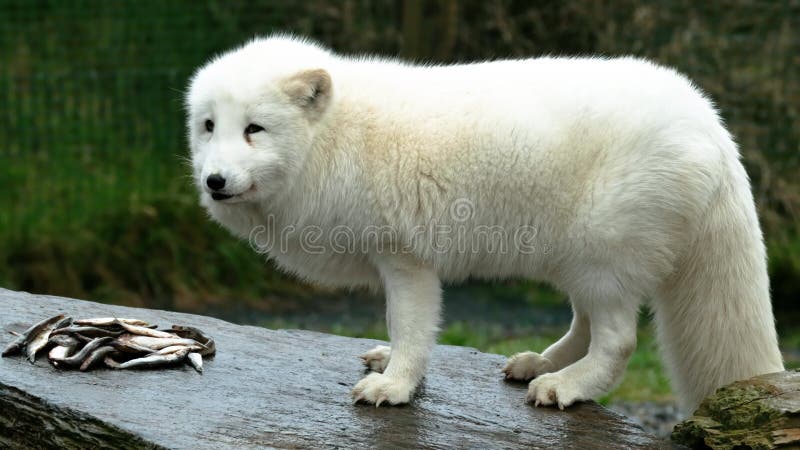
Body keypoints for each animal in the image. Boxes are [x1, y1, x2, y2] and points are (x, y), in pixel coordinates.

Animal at [185, 35, 783, 412]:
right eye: (210, 126)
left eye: (255, 129)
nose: (213, 181)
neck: (337, 138)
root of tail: (712, 123)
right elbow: (403, 330)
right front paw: (391, 364)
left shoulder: (405, 260)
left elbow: (409, 326)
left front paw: (395, 386)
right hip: (575, 259)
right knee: (586, 325)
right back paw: (539, 364)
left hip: (602, 258)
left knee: (617, 342)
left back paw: (566, 386)